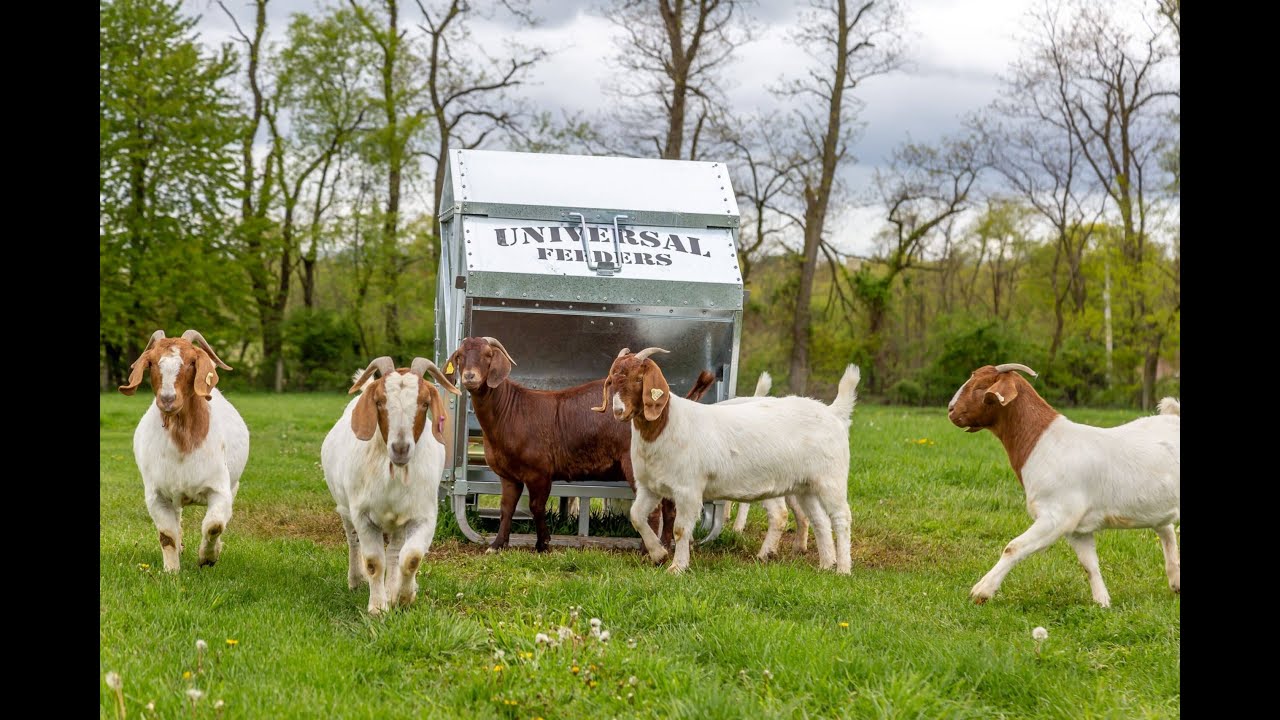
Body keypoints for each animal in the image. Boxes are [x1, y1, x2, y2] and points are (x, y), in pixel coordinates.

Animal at [118, 329, 250, 572]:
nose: (168, 399)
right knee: (177, 517)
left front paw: (208, 557)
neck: (183, 445)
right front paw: (171, 570)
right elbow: (167, 534)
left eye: (191, 362)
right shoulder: (156, 495)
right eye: (151, 362)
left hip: (234, 485)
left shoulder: (220, 489)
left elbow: (214, 525)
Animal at [321, 356, 460, 615]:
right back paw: (356, 579)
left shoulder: (423, 515)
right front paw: (377, 607)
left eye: (424, 403)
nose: (400, 448)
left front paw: (402, 596)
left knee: (395, 552)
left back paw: (393, 588)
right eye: (379, 402)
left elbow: (411, 557)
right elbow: (374, 562)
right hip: (344, 508)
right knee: (353, 541)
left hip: (398, 522)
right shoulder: (362, 514)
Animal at [445, 336, 714, 553]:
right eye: (459, 357)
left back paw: (648, 550)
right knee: (669, 507)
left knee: (654, 508)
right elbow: (506, 508)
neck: (510, 411)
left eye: (488, 355)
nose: (470, 377)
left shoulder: (539, 471)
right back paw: (665, 545)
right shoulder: (508, 475)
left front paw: (543, 544)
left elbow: (536, 507)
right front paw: (497, 545)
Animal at [595, 347, 860, 574]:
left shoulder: (688, 490)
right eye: (611, 380)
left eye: (639, 379)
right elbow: (637, 516)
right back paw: (825, 564)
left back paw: (842, 569)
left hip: (830, 479)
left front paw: (677, 567)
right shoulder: (649, 486)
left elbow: (681, 529)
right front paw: (658, 554)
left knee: (841, 518)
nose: (618, 411)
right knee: (819, 520)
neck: (666, 426)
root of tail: (833, 412)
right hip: (806, 485)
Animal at [947, 363, 1180, 607]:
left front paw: (981, 590)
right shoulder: (1077, 529)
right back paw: (1176, 582)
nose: (951, 410)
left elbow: (1014, 547)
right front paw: (1102, 602)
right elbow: (1089, 564)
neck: (1043, 443)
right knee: (1166, 530)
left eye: (981, 387)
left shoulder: (1057, 516)